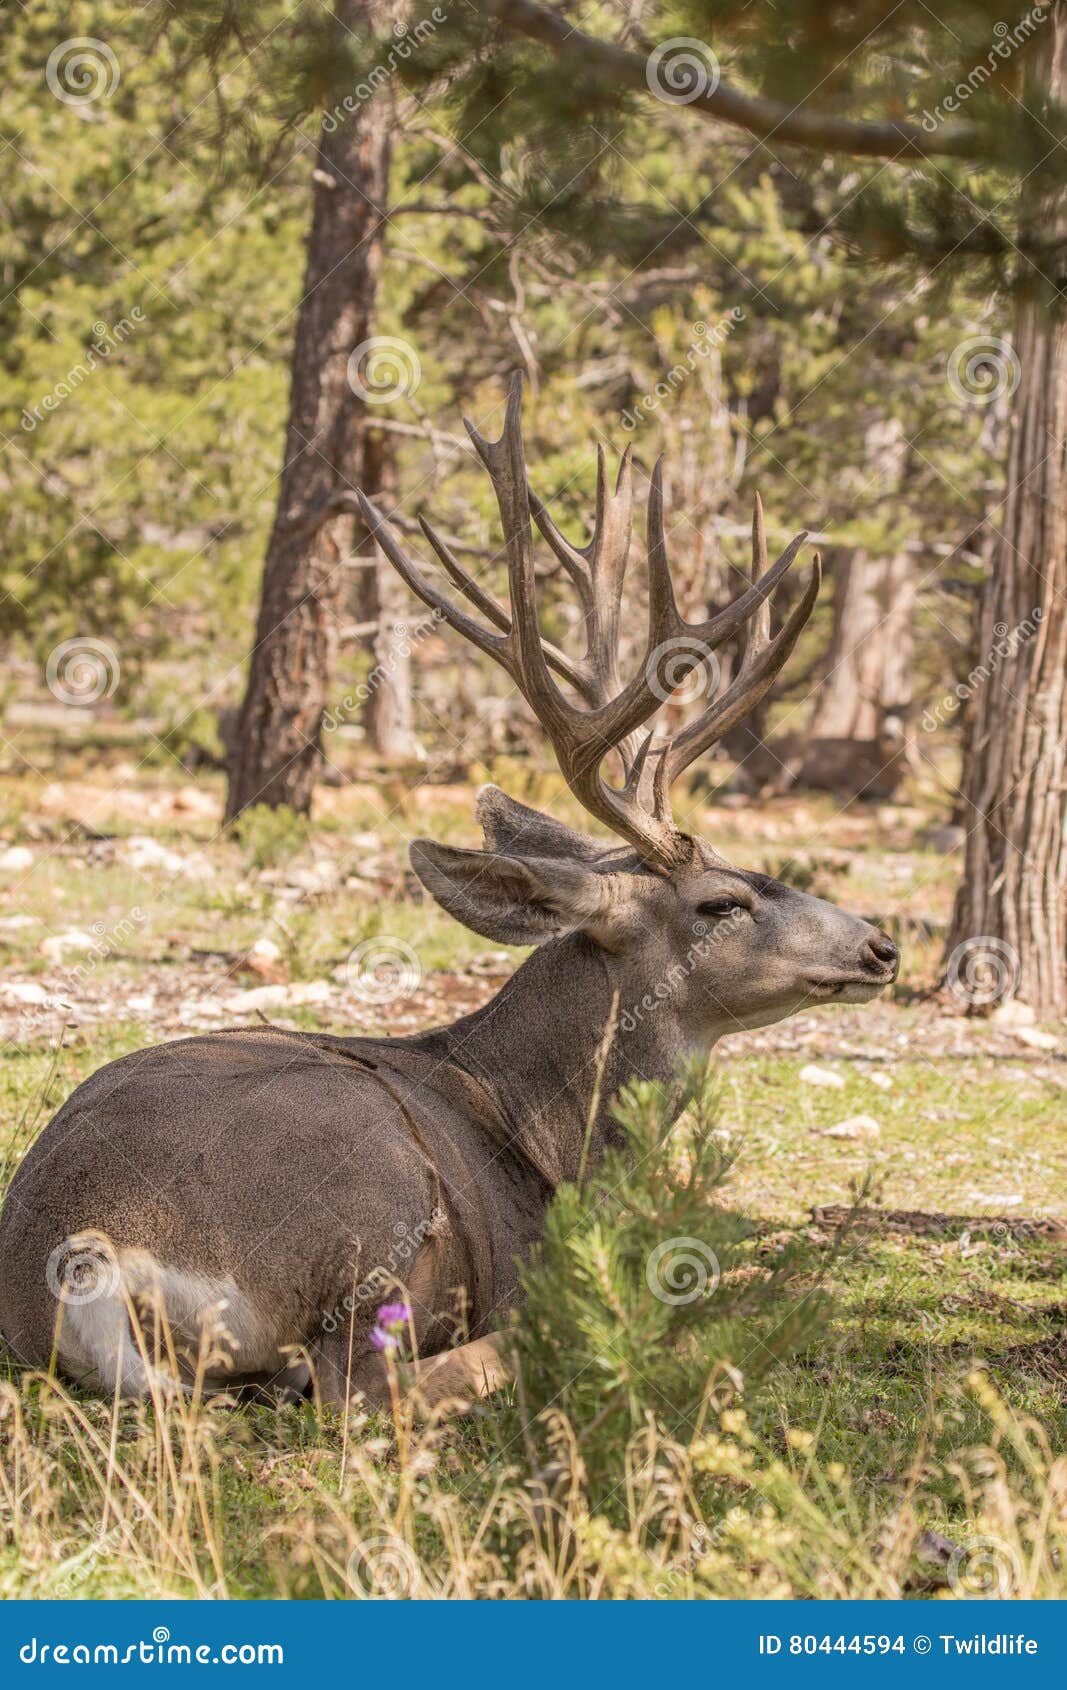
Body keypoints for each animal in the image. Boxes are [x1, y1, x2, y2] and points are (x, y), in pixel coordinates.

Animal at [0, 375, 898, 1412]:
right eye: (722, 902)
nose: (880, 945)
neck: (558, 1140)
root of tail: (78, 1255)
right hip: (367, 1178)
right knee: (358, 1384)